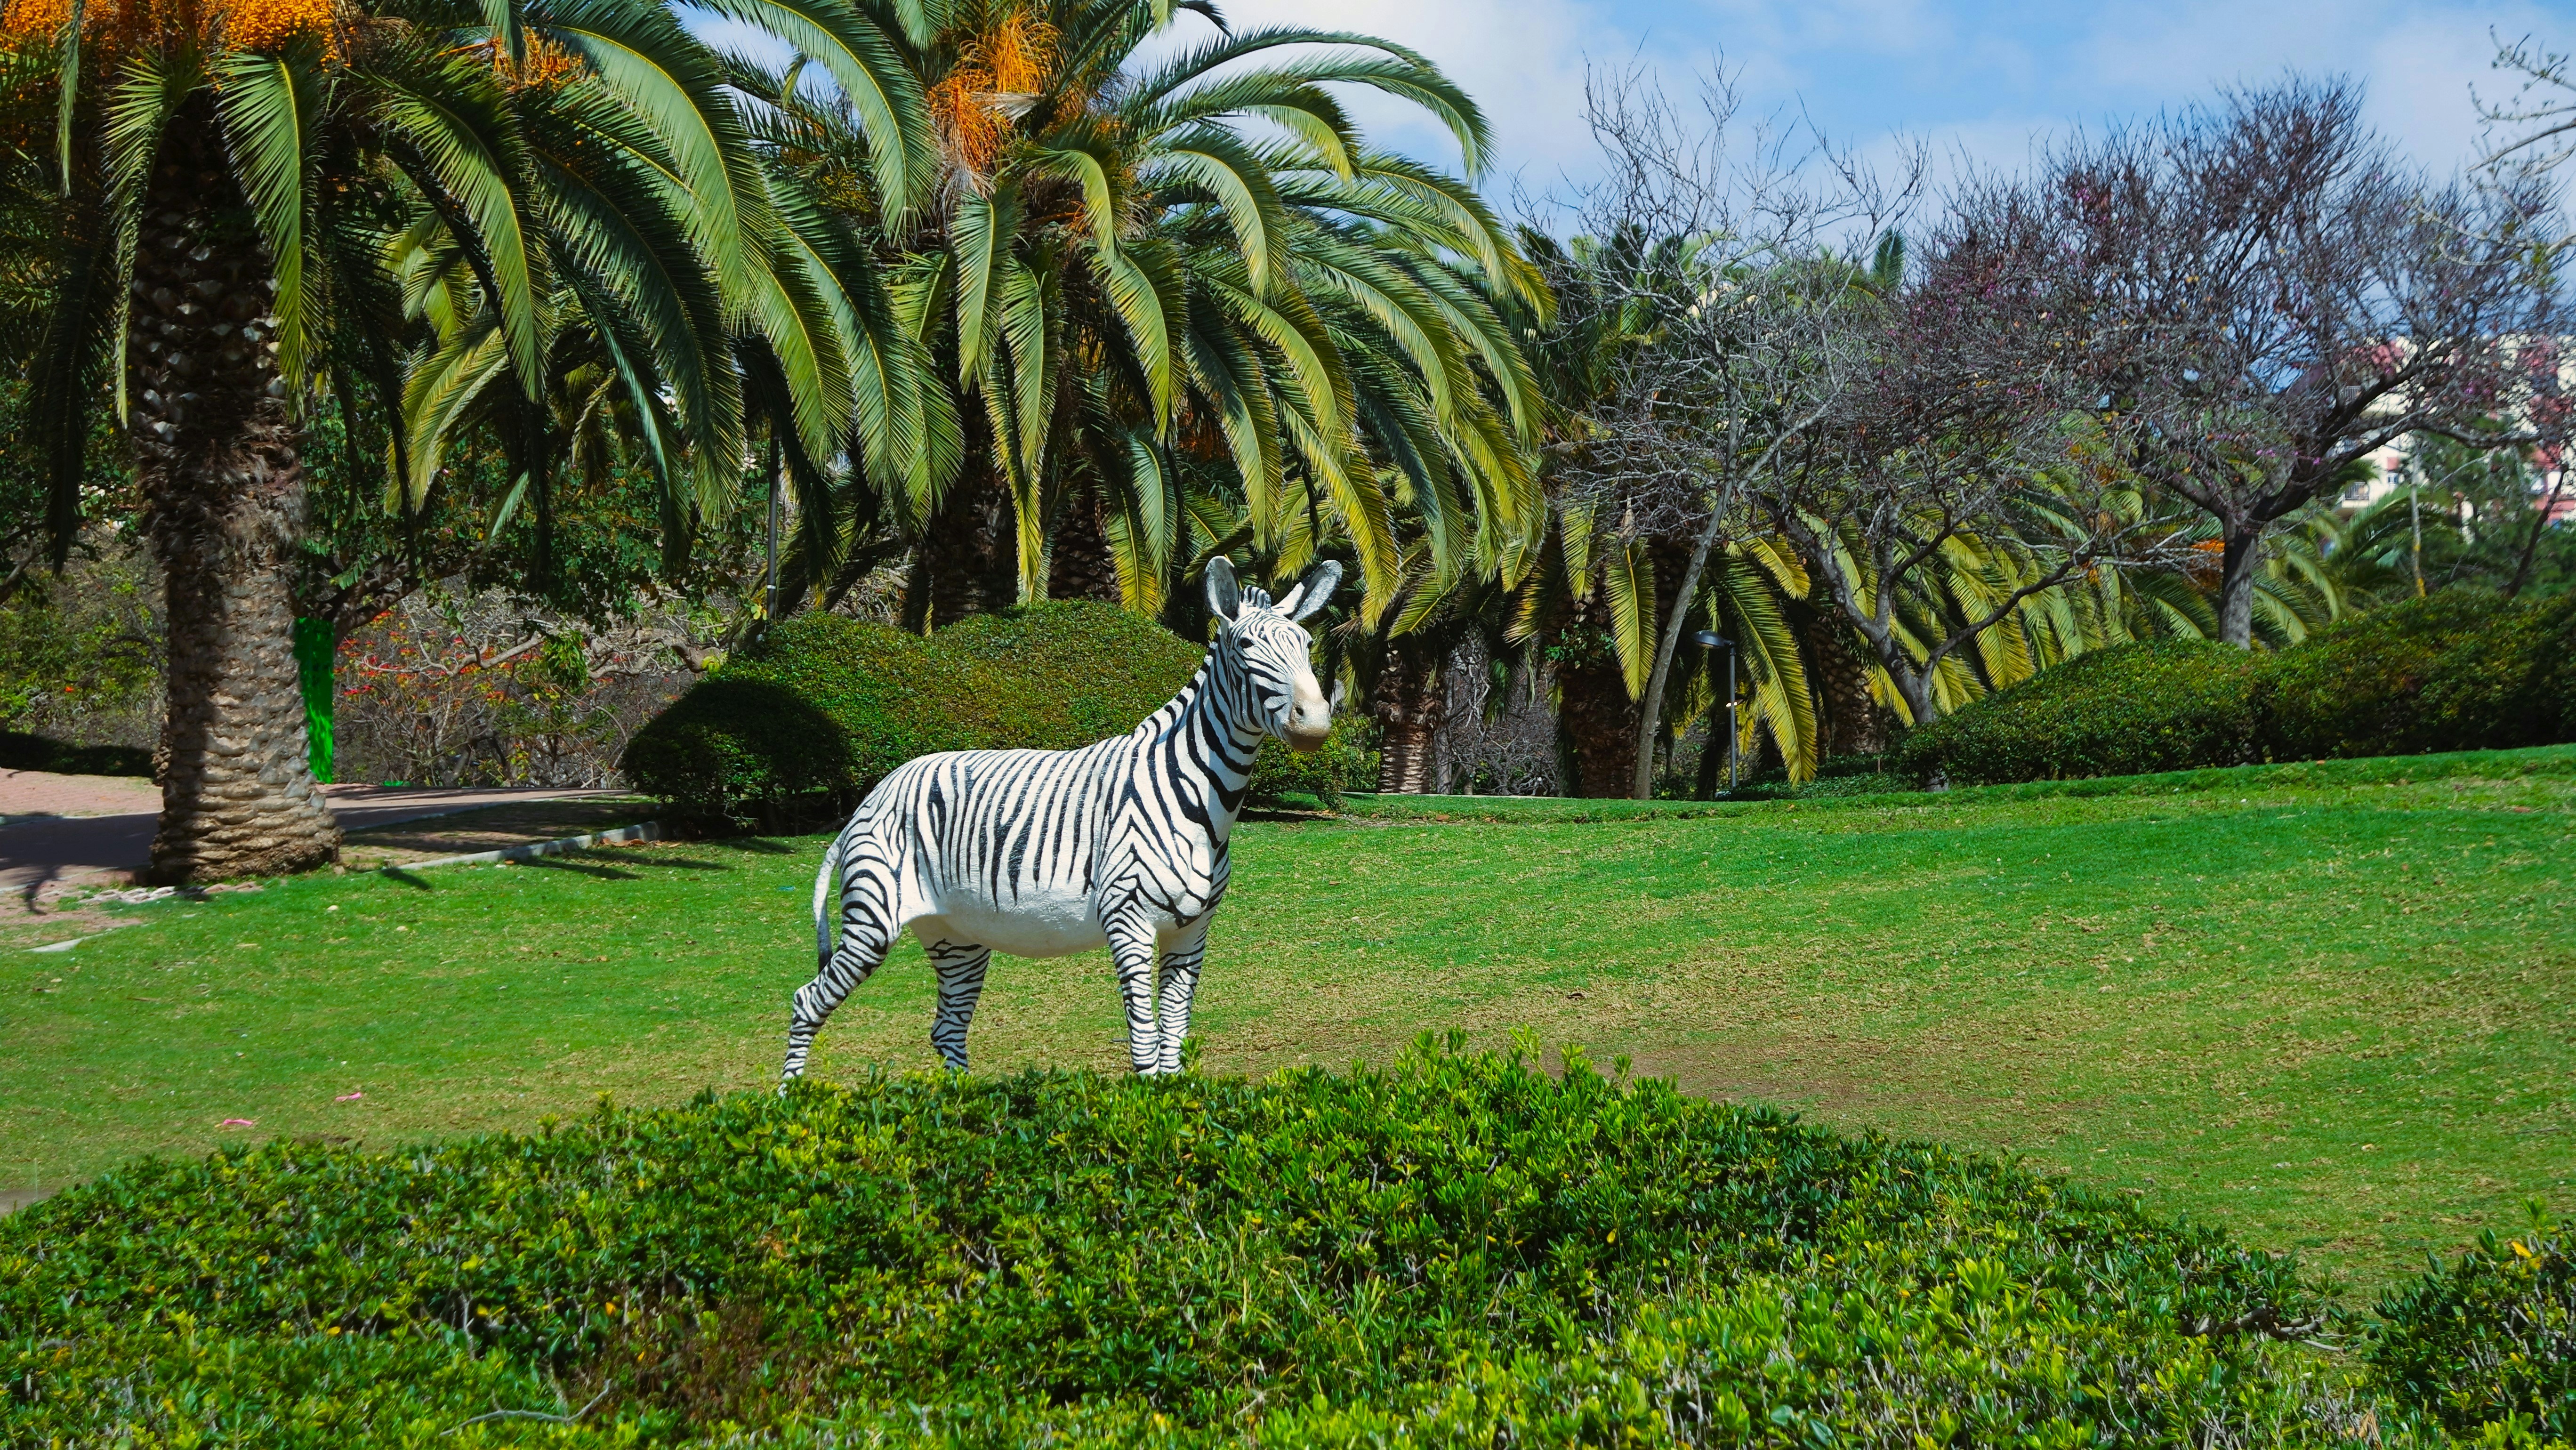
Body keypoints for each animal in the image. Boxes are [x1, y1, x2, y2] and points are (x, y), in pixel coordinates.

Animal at [781, 557, 1339, 1082]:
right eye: (1245, 645)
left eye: (1308, 643)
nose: (1315, 722)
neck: (1199, 797)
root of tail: (876, 793)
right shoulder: (1128, 920)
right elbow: (1145, 1042)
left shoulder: (1191, 930)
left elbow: (1174, 1039)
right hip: (874, 920)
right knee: (807, 1002)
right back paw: (792, 1100)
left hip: (956, 934)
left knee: (947, 1028)